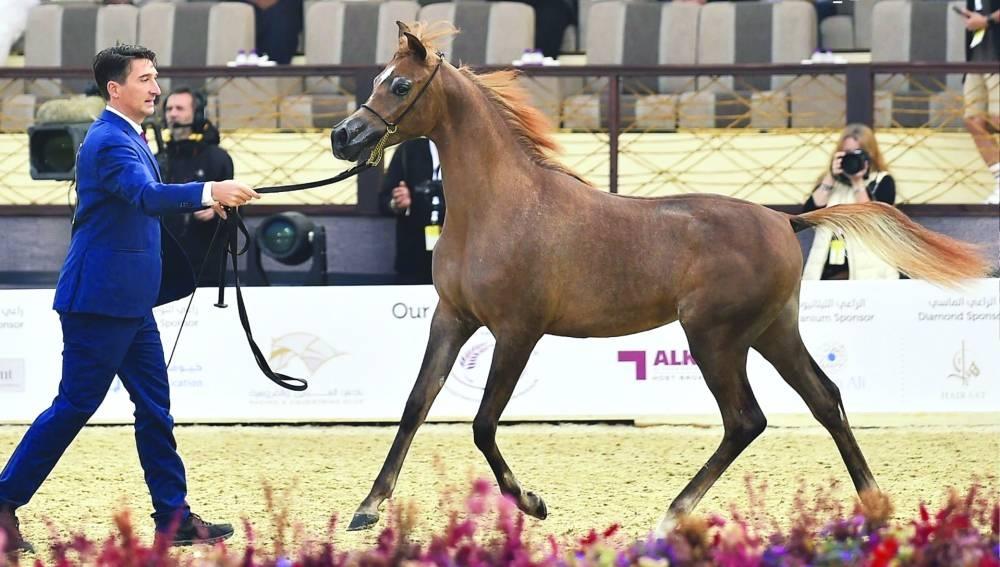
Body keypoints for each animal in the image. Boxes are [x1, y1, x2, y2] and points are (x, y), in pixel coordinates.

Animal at [330, 22, 989, 533]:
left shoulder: (517, 331)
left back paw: (674, 514)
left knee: (746, 419)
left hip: (717, 338)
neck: (501, 205)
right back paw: (874, 506)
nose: (344, 137)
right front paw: (367, 508)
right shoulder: (453, 317)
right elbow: (416, 402)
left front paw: (534, 503)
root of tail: (786, 218)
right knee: (825, 400)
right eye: (375, 79)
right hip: (772, 332)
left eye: (399, 84)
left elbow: (483, 423)